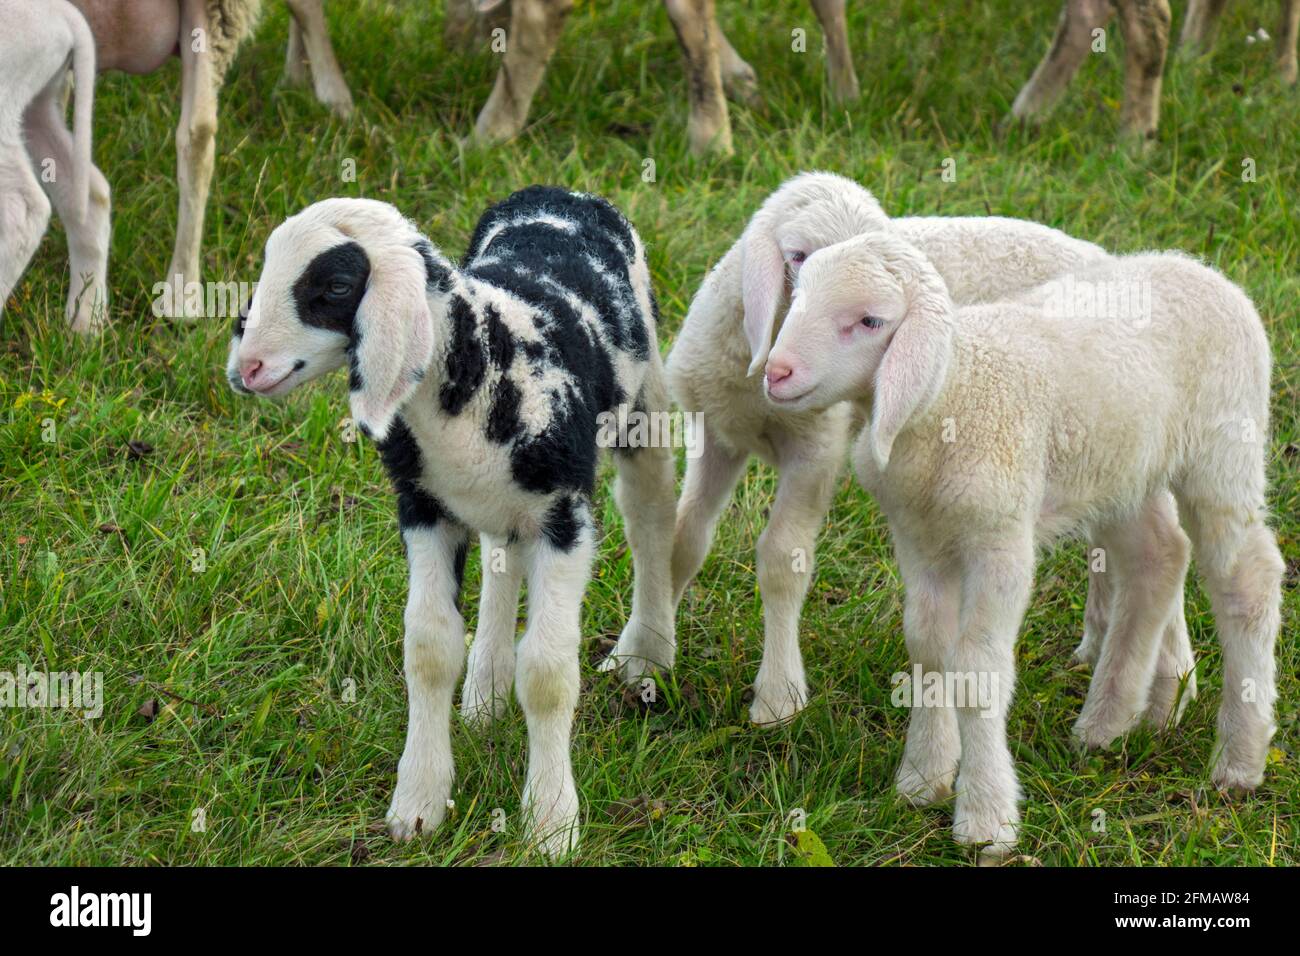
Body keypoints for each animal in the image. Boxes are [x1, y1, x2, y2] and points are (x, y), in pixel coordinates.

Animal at [225, 188, 677, 855]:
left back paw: (646, 655)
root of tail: (560, 192)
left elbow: (548, 672)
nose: (247, 368)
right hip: (493, 500)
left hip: (644, 406)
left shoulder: (564, 519)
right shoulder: (424, 510)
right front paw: (418, 802)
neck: (485, 359)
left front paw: (551, 823)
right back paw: (486, 690)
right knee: (501, 558)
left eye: (335, 286)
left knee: (650, 521)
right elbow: (429, 648)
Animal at [649, 171, 1196, 728]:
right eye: (797, 257)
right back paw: (1104, 649)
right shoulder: (714, 433)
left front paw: (778, 697)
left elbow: (782, 559)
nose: (784, 368)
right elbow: (685, 538)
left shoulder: (816, 452)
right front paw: (647, 651)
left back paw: (1169, 696)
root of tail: (1106, 256)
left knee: (1162, 543)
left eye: (871, 317)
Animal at [763, 231, 1283, 855]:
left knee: (1247, 579)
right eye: (798, 296)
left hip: (1223, 449)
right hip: (1121, 471)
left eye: (870, 321)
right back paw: (1110, 722)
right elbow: (929, 648)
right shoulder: (920, 537)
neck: (952, 392)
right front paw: (923, 777)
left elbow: (977, 666)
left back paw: (1239, 759)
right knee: (1158, 556)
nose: (776, 372)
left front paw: (986, 818)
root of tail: (1206, 273)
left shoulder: (1000, 539)